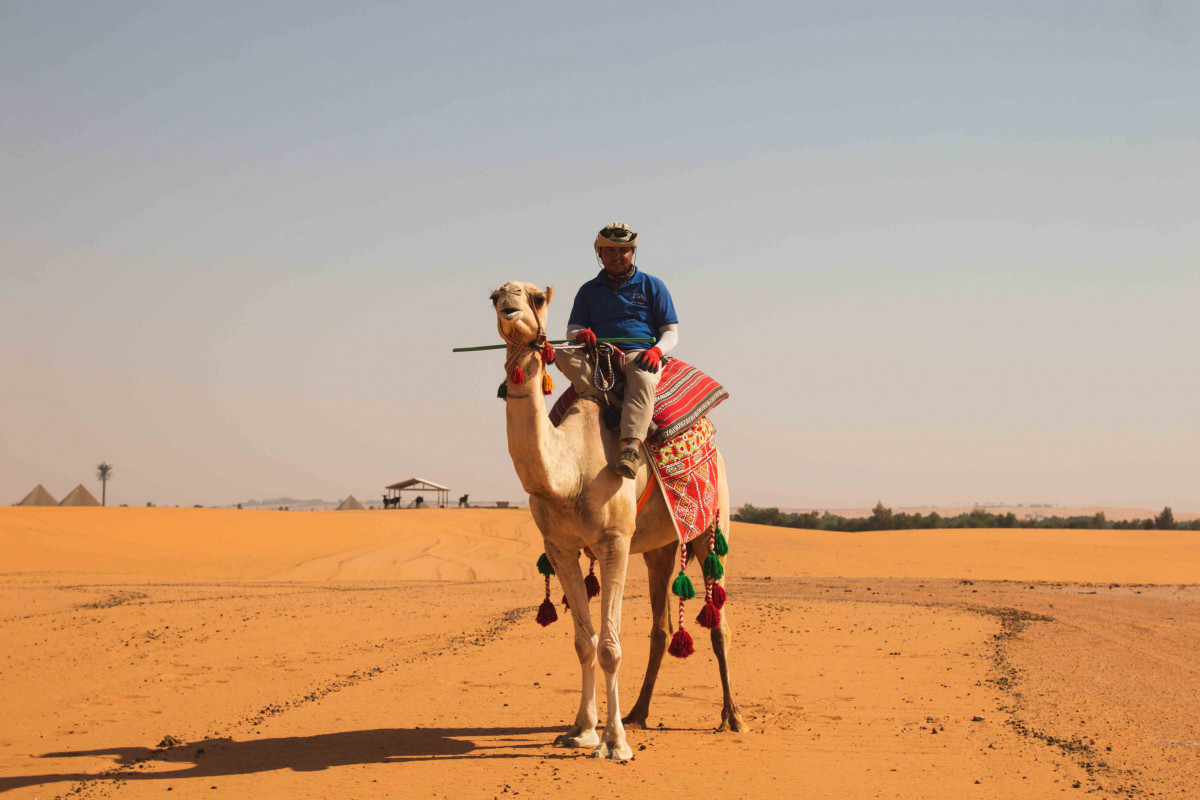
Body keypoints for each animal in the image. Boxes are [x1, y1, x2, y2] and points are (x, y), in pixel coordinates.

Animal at [490, 280, 745, 761]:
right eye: (494, 296)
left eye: (536, 298)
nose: (510, 302)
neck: (569, 471)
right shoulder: (560, 547)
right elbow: (584, 642)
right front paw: (581, 730)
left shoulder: (613, 542)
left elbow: (609, 646)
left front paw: (613, 744)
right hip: (660, 547)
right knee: (661, 628)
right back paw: (639, 712)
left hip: (710, 524)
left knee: (718, 621)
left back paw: (732, 717)